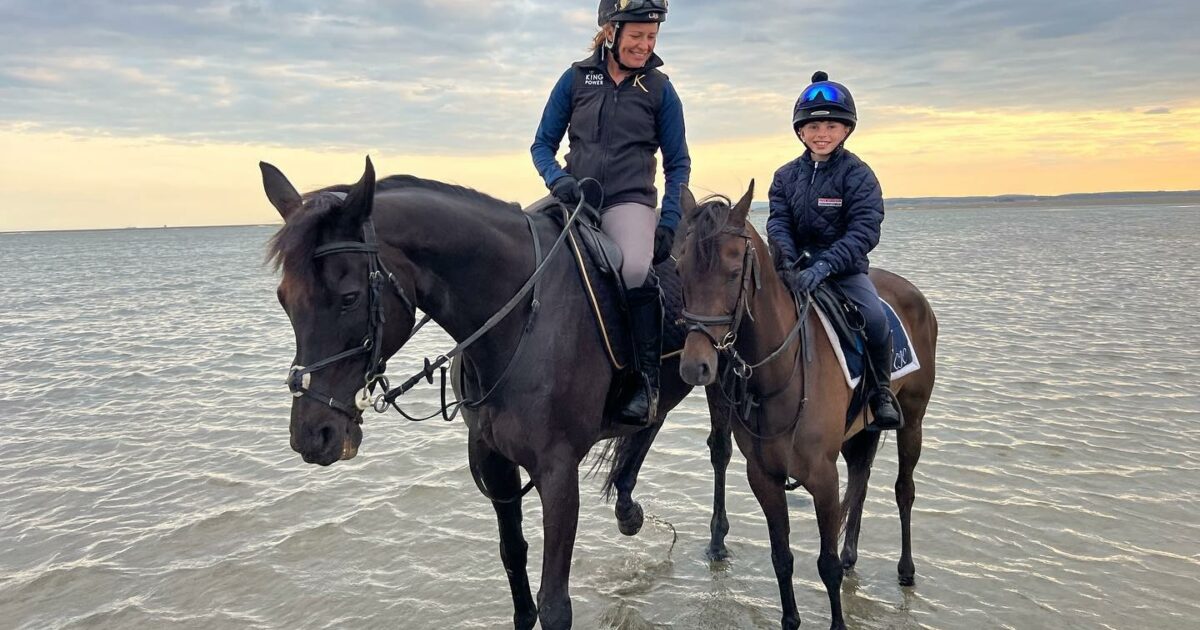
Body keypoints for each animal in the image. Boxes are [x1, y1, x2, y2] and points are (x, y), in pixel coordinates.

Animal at [261, 157, 737, 629]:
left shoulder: (557, 473)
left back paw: (715, 539)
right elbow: (514, 565)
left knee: (718, 451)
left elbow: (554, 603)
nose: (312, 435)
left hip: (720, 376)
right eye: (283, 299)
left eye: (349, 298)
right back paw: (628, 508)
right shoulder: (495, 463)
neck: (519, 320)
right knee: (648, 425)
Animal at [668, 183, 938, 630]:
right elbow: (782, 557)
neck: (779, 373)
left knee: (904, 490)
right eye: (681, 271)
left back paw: (906, 568)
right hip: (860, 431)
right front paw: (791, 619)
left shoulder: (823, 479)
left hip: (912, 420)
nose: (696, 365)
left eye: (732, 272)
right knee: (862, 479)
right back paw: (852, 555)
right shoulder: (764, 478)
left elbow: (825, 565)